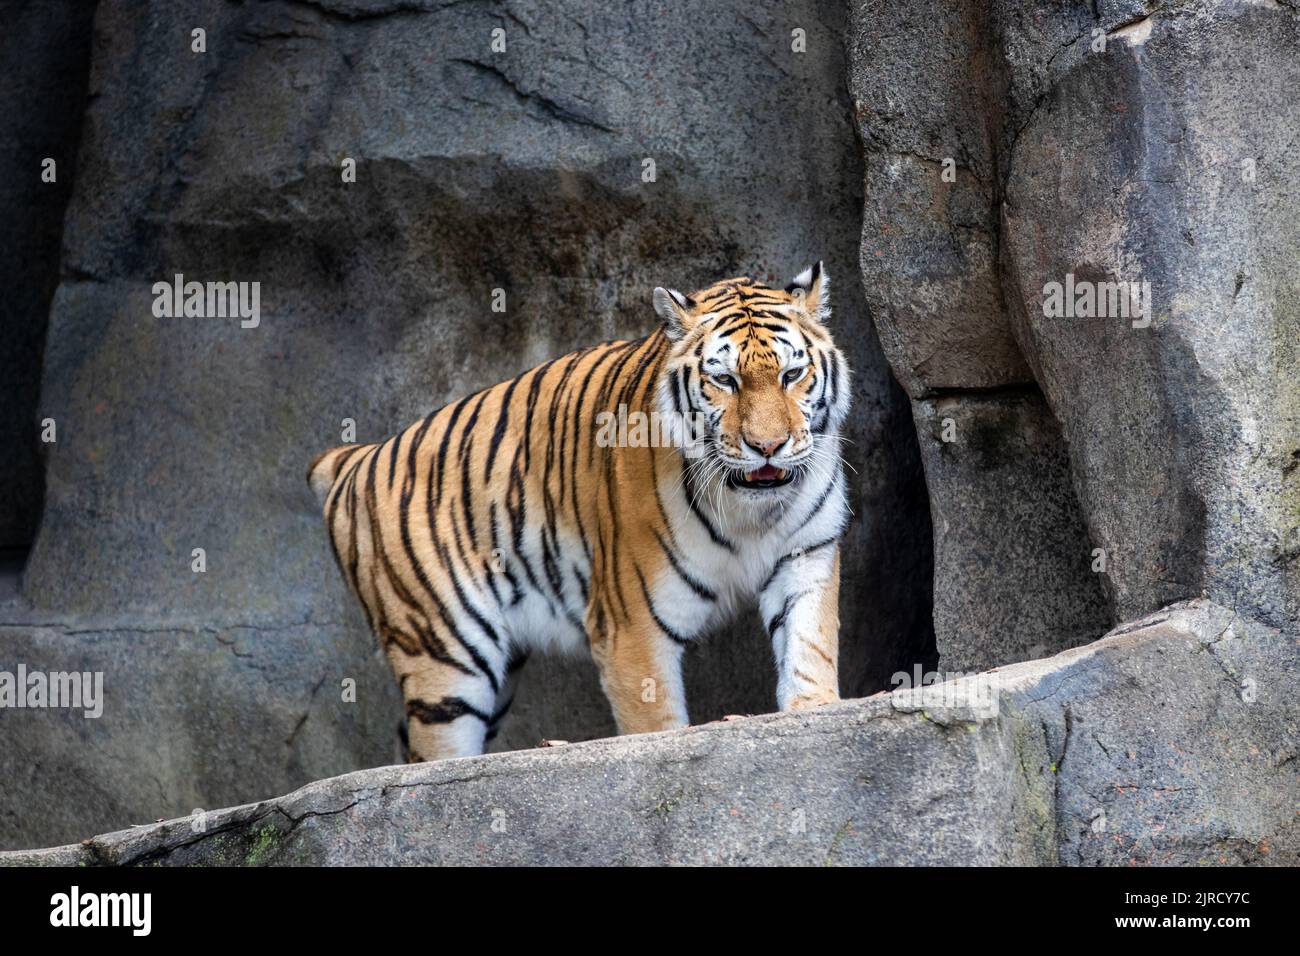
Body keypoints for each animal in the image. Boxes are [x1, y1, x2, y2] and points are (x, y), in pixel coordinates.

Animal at [308, 263, 852, 762]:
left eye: (791, 374)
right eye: (725, 380)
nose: (768, 447)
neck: (749, 512)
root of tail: (357, 457)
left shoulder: (806, 557)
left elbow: (810, 646)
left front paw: (813, 713)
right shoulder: (632, 623)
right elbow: (654, 725)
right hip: (445, 655)